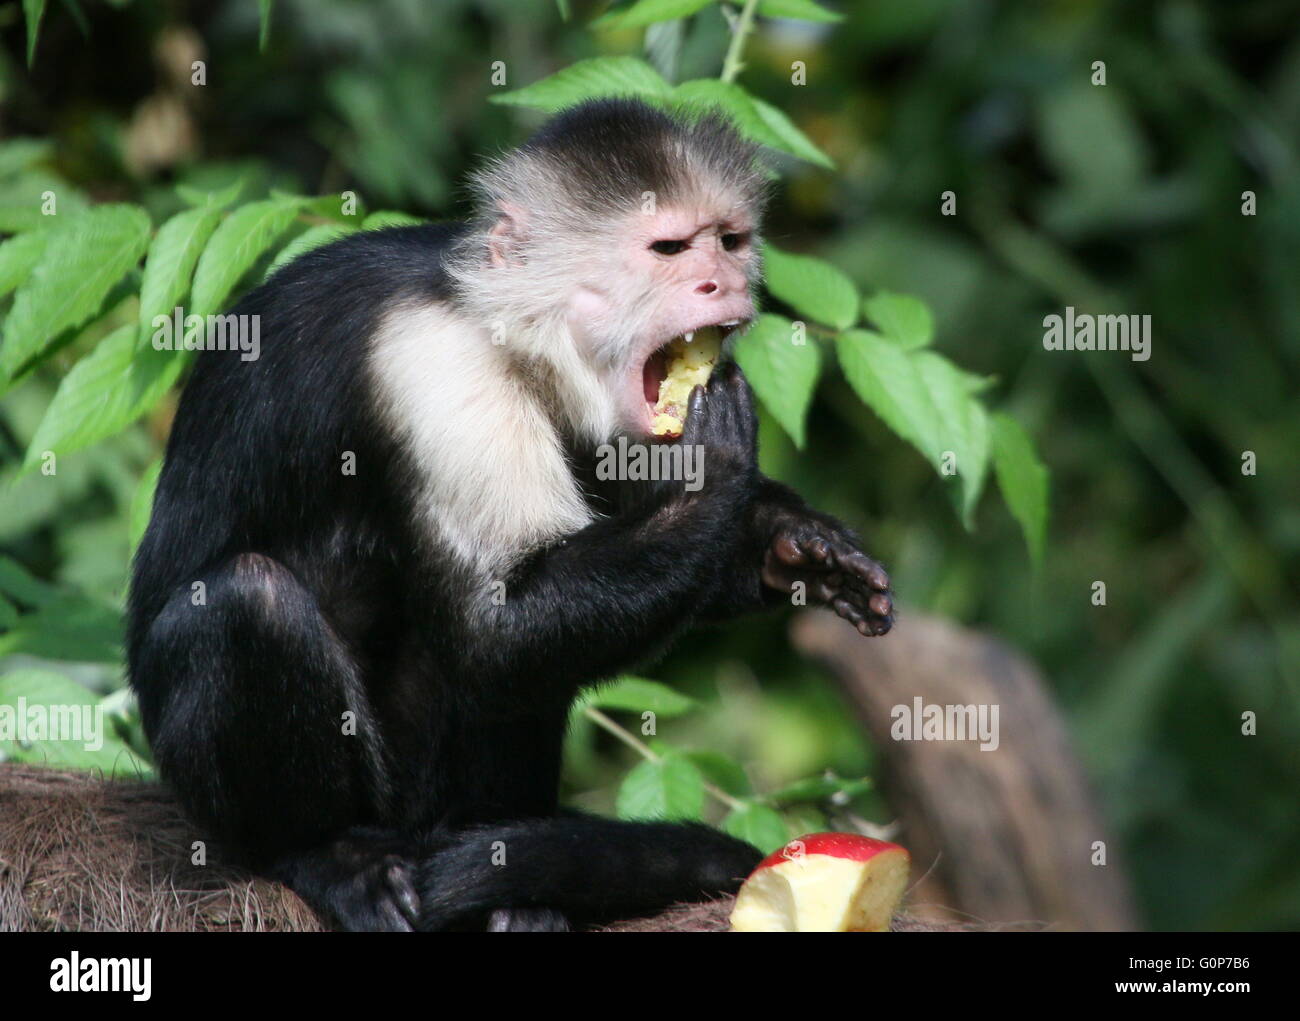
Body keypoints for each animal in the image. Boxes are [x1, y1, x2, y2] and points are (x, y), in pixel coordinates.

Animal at [126, 98, 894, 932]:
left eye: (729, 240)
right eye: (668, 249)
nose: (719, 279)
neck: (516, 331)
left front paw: (793, 544)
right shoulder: (435, 362)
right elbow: (497, 627)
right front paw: (713, 471)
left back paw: (515, 876)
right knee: (247, 599)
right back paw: (321, 852)